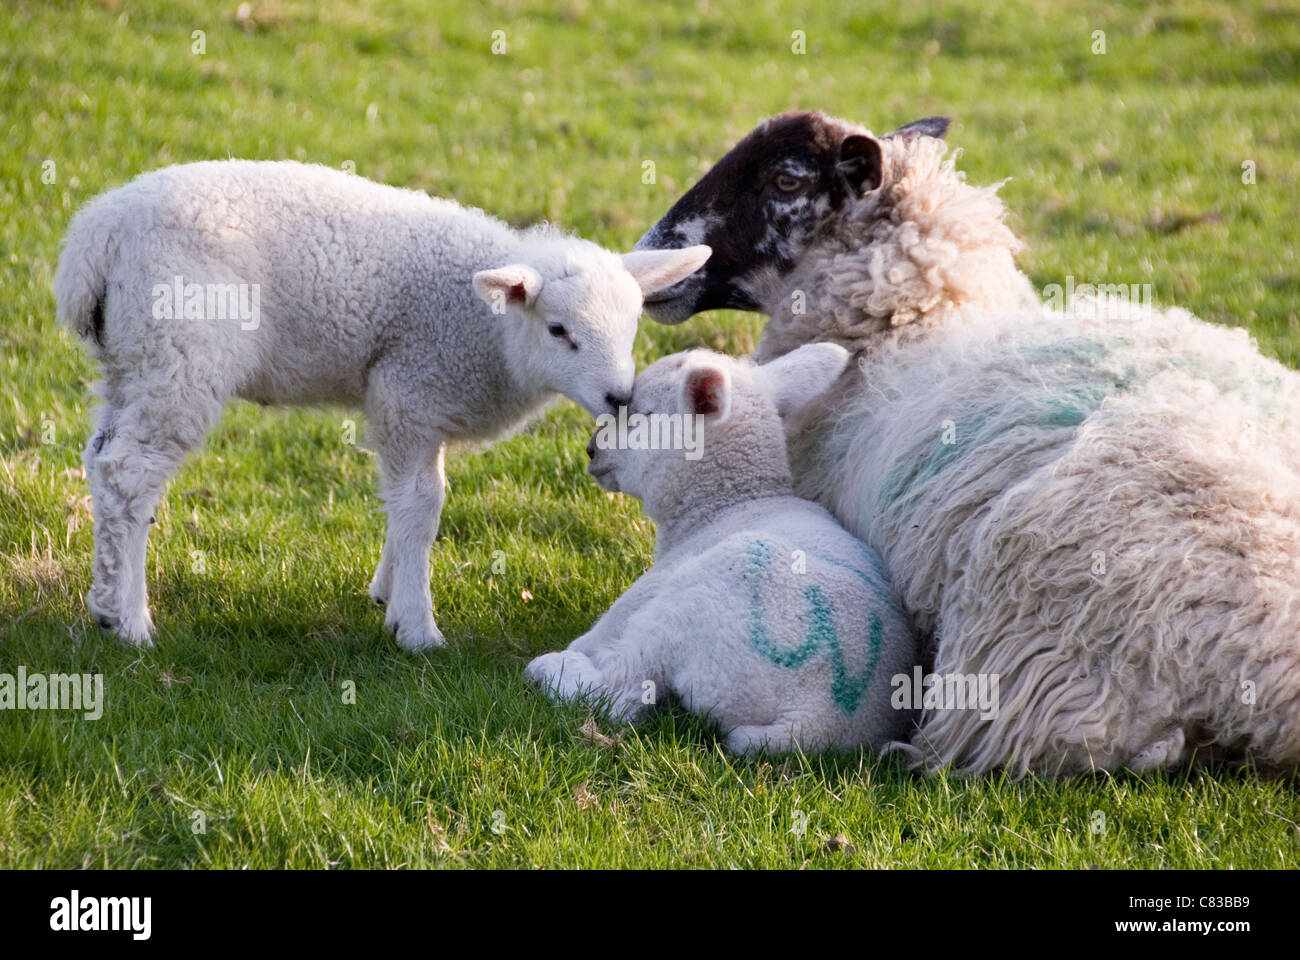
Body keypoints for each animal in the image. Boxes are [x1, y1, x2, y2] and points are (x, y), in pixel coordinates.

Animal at [54, 159, 711, 651]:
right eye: (558, 331)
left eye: (632, 327)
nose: (618, 397)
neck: (487, 328)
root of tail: (97, 237)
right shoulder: (408, 390)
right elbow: (423, 504)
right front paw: (415, 625)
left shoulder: (413, 402)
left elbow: (409, 500)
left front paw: (386, 589)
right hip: (180, 355)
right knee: (130, 472)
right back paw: (128, 620)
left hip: (132, 359)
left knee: (102, 463)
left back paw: (105, 596)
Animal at [526, 342, 918, 755]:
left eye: (644, 415)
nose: (591, 451)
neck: (729, 504)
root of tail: (815, 721)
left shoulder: (644, 596)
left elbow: (596, 643)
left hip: (699, 602)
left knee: (622, 693)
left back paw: (551, 668)